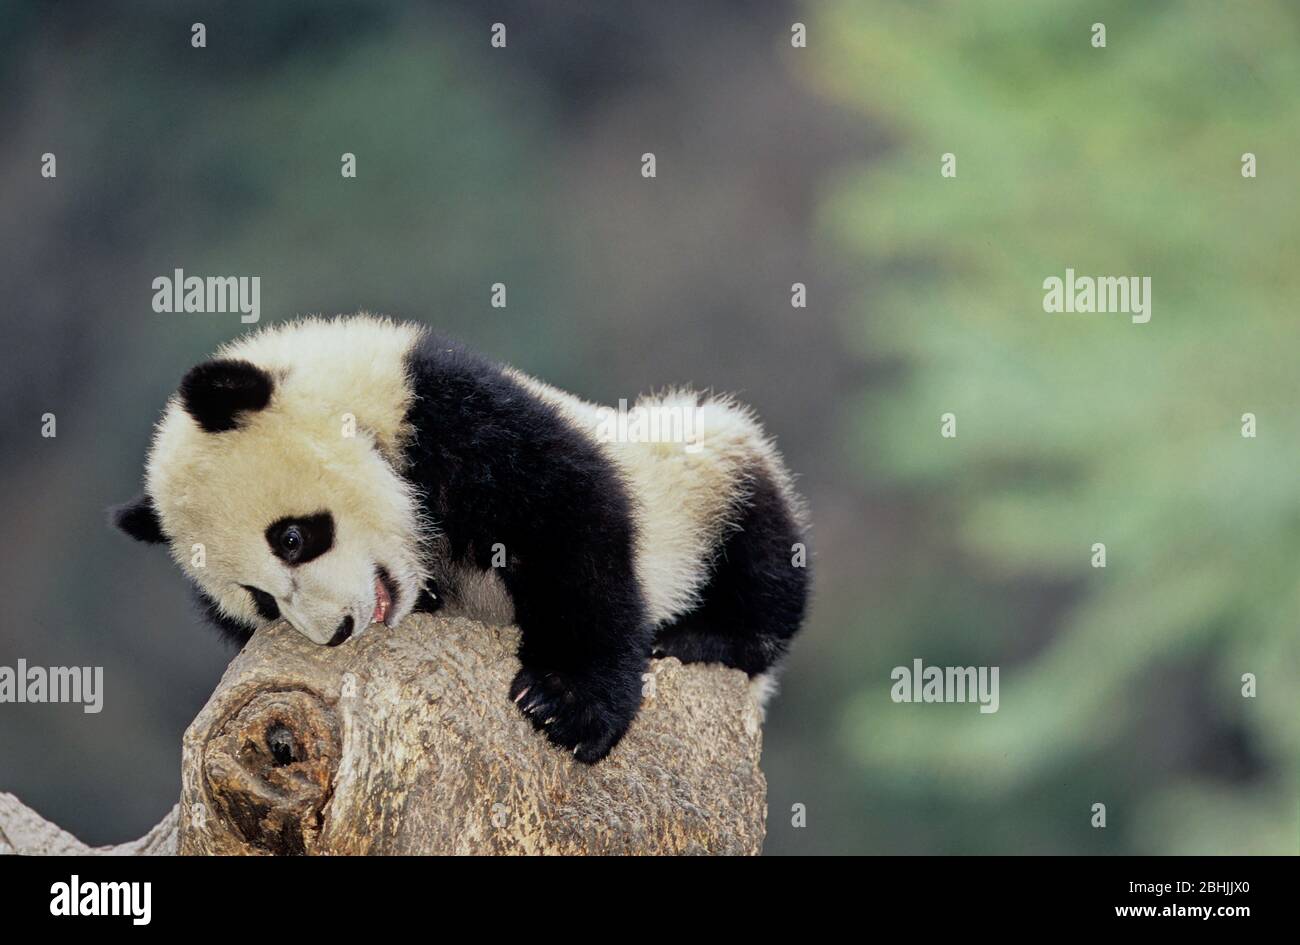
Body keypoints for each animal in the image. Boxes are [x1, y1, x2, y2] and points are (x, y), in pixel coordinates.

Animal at [112, 315, 809, 762]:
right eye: (260, 601)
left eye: (291, 538)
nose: (335, 632)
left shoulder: (449, 409)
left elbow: (571, 529)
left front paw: (564, 704)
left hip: (696, 477)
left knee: (759, 546)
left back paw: (705, 636)